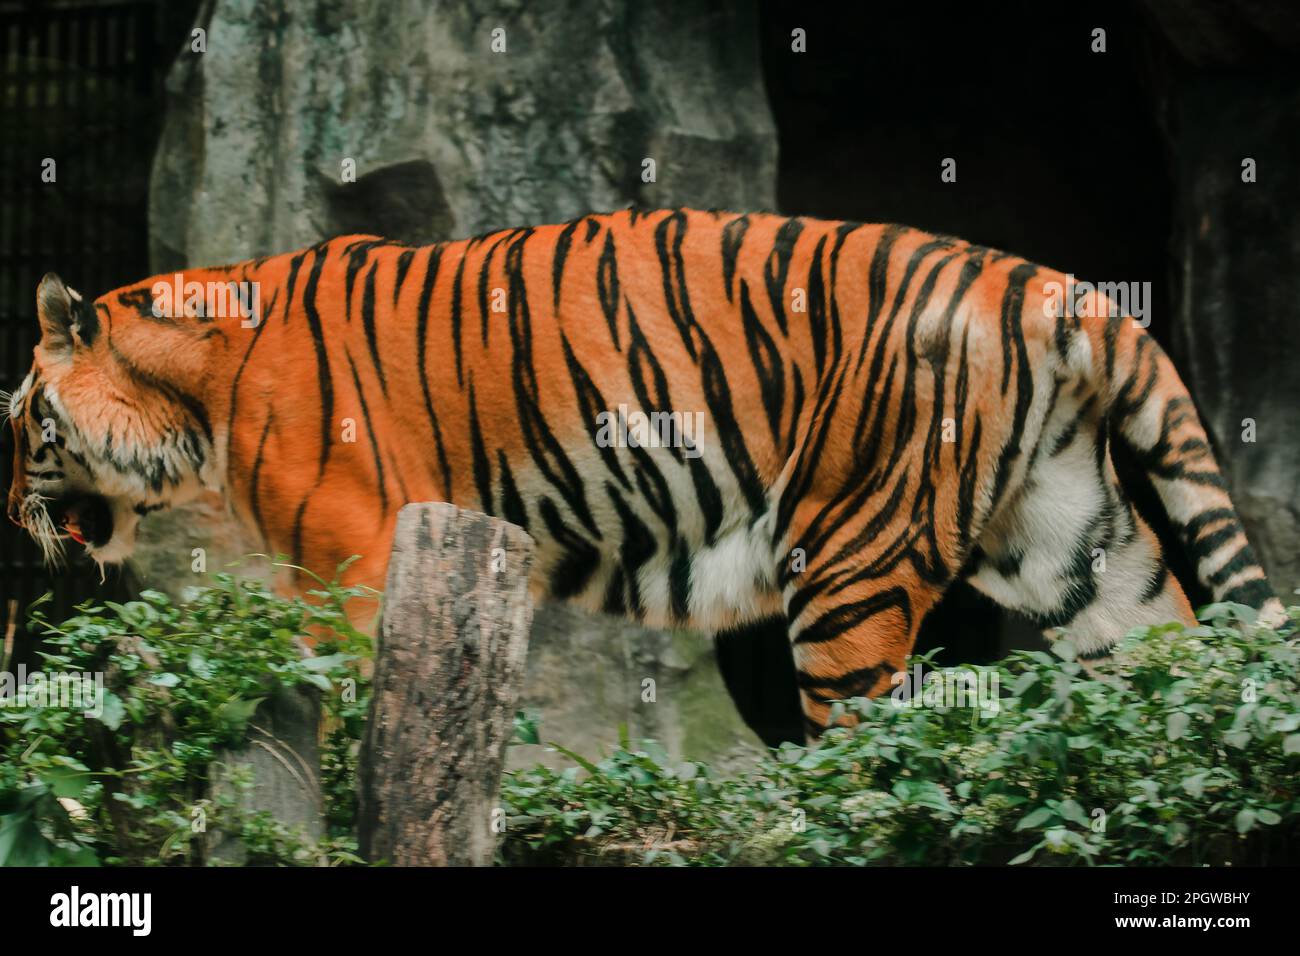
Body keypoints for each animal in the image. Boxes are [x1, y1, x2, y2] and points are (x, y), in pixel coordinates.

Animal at [5, 208, 1285, 739]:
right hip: (1071, 547)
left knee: (869, 753)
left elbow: (329, 689)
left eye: (21, 416)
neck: (196, 393)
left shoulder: (345, 560)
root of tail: (1044, 284)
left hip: (850, 565)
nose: (12, 516)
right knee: (1170, 666)